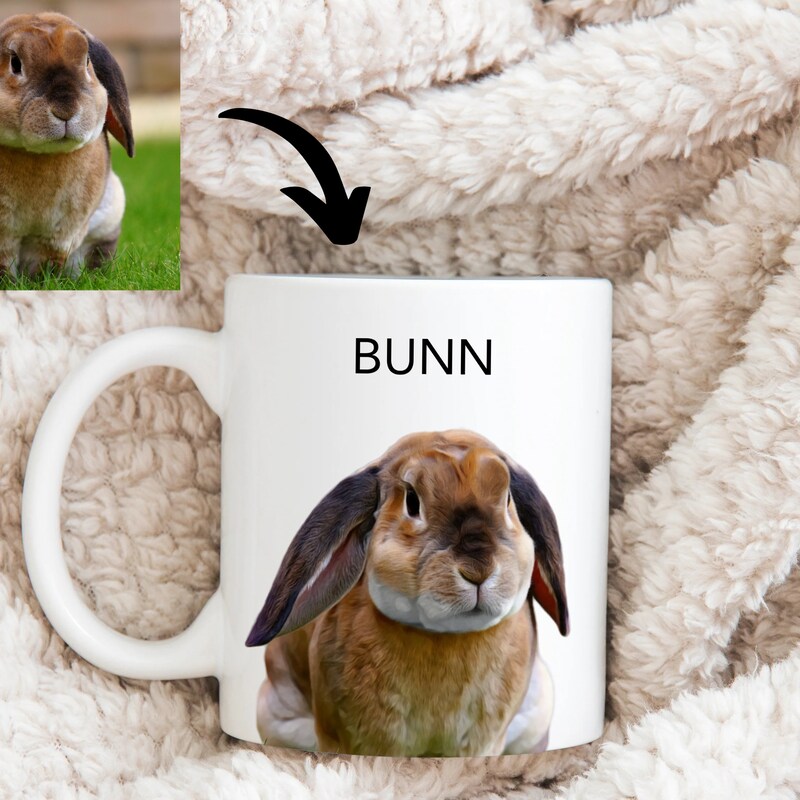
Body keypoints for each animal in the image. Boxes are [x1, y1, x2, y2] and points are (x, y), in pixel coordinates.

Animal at [0, 12, 134, 278]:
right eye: (15, 63)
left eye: (87, 61)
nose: (65, 109)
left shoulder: (59, 234)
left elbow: (46, 261)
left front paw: (42, 282)